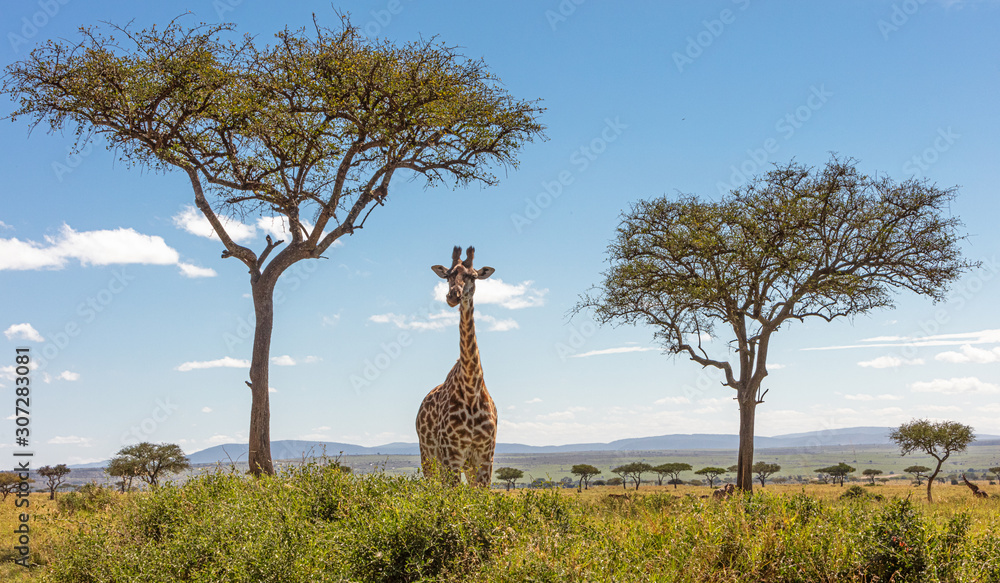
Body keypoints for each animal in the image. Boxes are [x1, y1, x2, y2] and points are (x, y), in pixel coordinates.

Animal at [416, 246, 498, 486]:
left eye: (473, 275)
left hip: (465, 465)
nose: (453, 296)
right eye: (448, 275)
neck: (471, 390)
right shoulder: (451, 455)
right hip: (429, 456)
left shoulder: (485, 457)